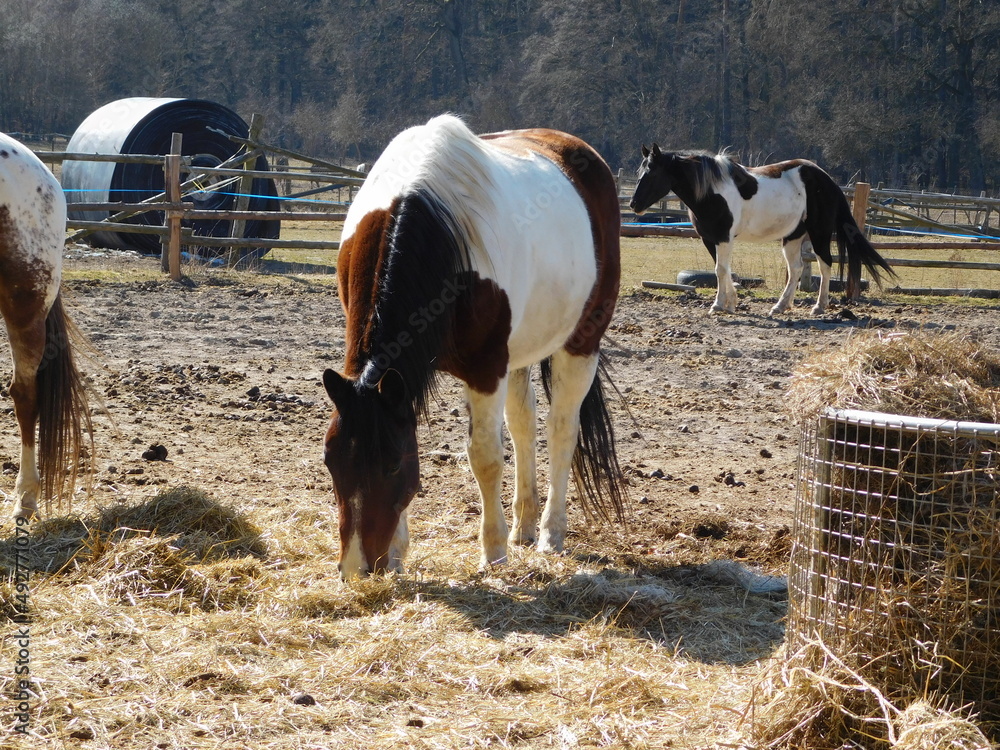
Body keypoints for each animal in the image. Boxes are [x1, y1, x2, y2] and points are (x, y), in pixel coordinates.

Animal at [323, 114, 626, 579]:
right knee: (524, 423)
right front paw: (398, 553)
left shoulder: (485, 368)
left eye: (391, 464)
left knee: (561, 430)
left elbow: (485, 456)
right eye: (331, 462)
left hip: (580, 343)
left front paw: (493, 550)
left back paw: (549, 533)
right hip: (520, 351)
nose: (357, 568)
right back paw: (524, 525)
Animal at [629, 144, 895, 315]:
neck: (712, 191)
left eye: (651, 173)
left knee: (825, 264)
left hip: (819, 233)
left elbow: (720, 270)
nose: (634, 205)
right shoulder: (710, 239)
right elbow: (723, 270)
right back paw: (780, 306)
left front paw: (718, 305)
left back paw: (818, 306)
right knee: (796, 268)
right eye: (641, 171)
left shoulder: (724, 237)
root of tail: (826, 179)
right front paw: (731, 303)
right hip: (793, 236)